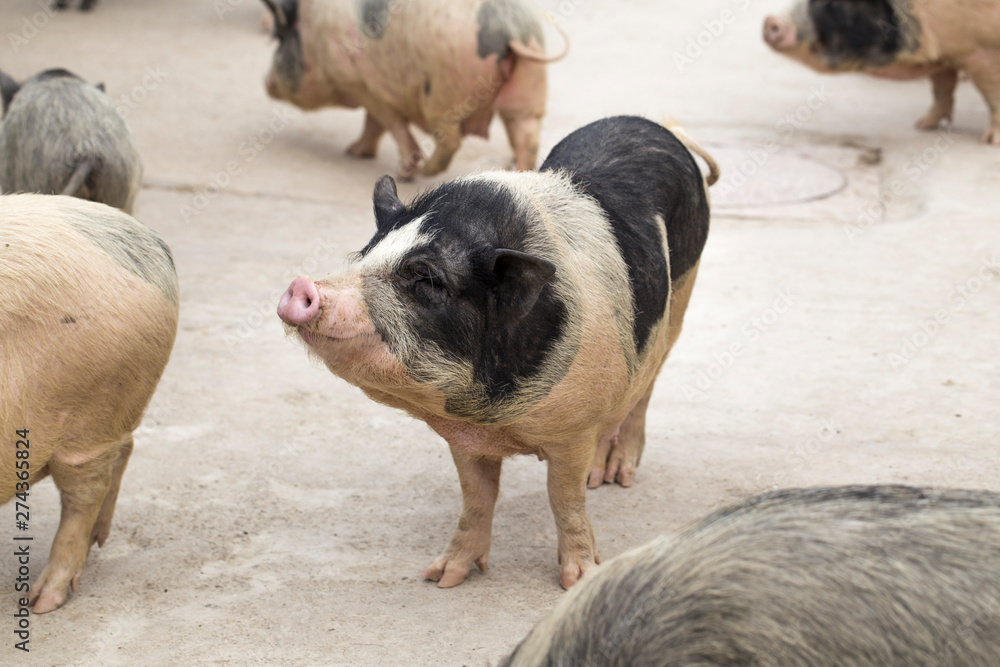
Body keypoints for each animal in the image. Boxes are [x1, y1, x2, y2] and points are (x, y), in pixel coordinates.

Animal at [0, 194, 179, 613]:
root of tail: (147, 243)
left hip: (87, 417)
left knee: (84, 492)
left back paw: (41, 601)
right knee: (125, 448)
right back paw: (99, 540)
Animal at [261, 0, 567, 179]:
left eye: (279, 37)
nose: (266, 83)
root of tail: (510, 30)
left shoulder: (360, 82)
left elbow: (388, 122)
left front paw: (401, 172)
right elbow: (374, 124)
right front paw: (354, 152)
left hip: (442, 94)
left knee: (450, 139)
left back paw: (425, 172)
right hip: (529, 86)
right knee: (526, 136)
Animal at [277, 116, 718, 589]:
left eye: (428, 279)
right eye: (365, 253)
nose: (301, 286)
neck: (495, 420)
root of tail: (660, 126)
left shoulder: (574, 431)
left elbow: (565, 500)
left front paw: (577, 580)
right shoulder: (466, 437)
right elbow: (476, 497)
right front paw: (442, 578)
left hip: (683, 294)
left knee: (646, 386)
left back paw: (614, 477)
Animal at [763, 0, 1000, 144]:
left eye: (832, 5)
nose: (769, 21)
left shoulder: (982, 54)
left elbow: (993, 96)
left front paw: (989, 141)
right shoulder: (944, 54)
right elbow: (941, 88)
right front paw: (922, 126)